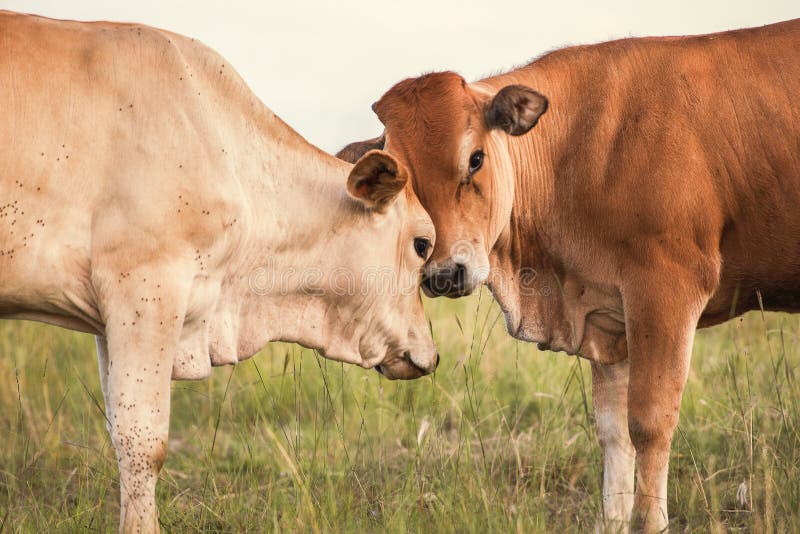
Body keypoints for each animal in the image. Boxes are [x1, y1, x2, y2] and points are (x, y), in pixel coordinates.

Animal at [338, 19, 800, 532]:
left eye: (475, 158)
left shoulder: (665, 292)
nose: (444, 273)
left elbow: (650, 421)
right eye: (400, 178)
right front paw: (615, 518)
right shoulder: (609, 316)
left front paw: (649, 520)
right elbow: (613, 431)